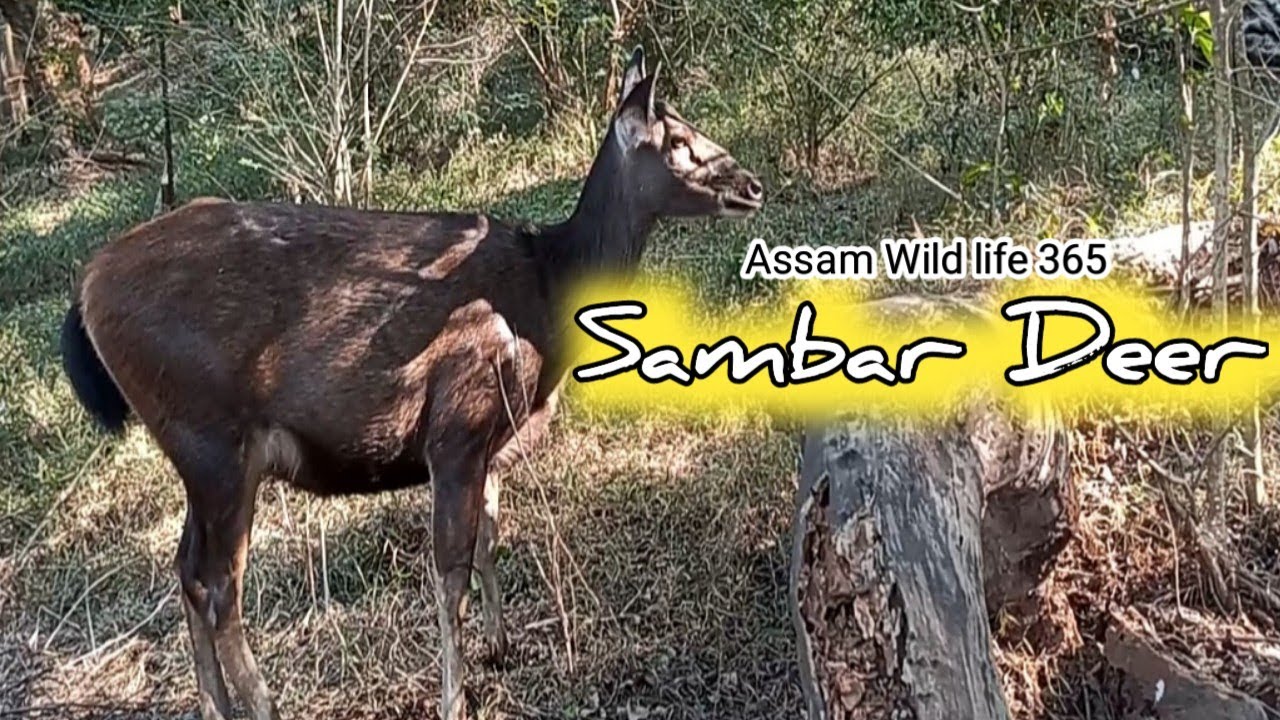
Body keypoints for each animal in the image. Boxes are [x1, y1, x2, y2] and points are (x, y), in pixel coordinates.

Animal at [58, 47, 762, 720]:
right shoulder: (458, 427)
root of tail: (86, 291)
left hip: (202, 458)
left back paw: (217, 705)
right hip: (211, 438)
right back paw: (261, 704)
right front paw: (456, 698)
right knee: (218, 584)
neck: (543, 296)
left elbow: (490, 539)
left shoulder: (489, 444)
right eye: (676, 139)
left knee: (185, 569)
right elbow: (450, 573)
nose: (752, 185)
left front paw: (500, 647)